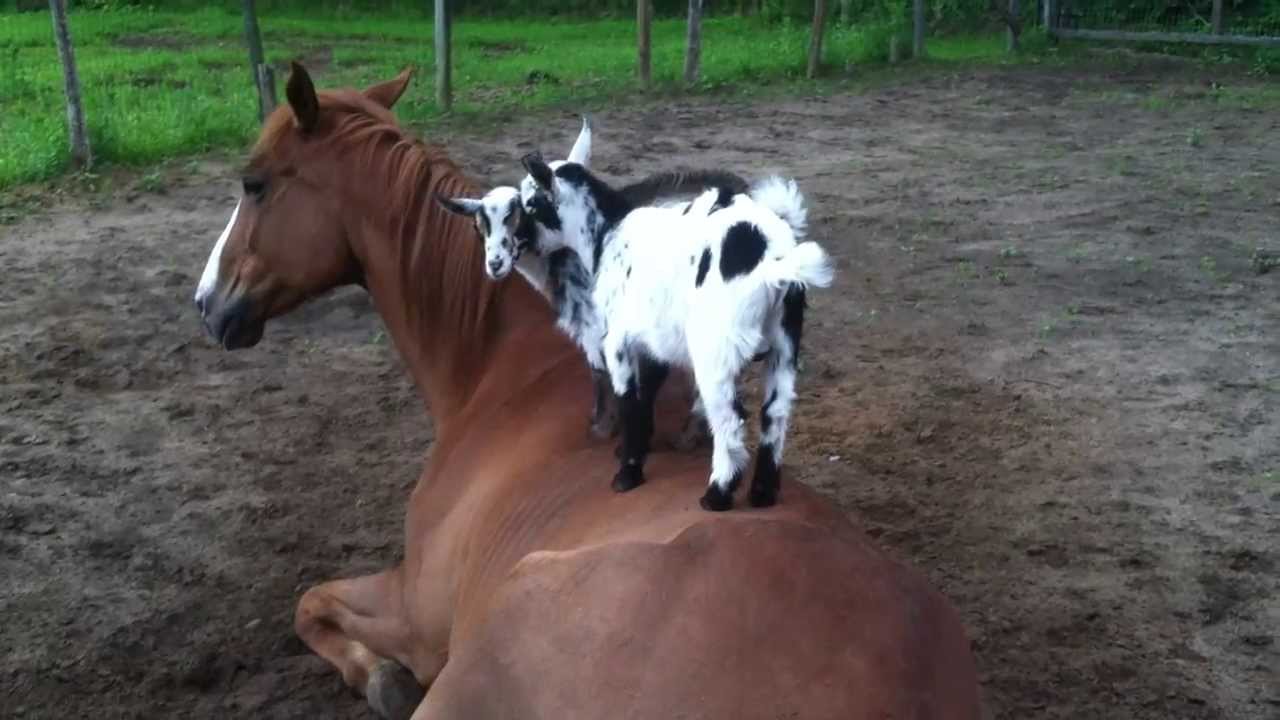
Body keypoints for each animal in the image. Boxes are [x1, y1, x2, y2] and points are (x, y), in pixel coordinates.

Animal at [520, 154, 834, 511]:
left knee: (731, 419)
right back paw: (762, 494)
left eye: (530, 203)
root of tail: (771, 261)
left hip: (715, 351)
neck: (608, 234)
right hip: (785, 344)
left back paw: (717, 495)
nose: (524, 242)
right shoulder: (656, 343)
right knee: (775, 414)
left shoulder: (617, 341)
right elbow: (646, 395)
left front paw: (627, 475)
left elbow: (629, 401)